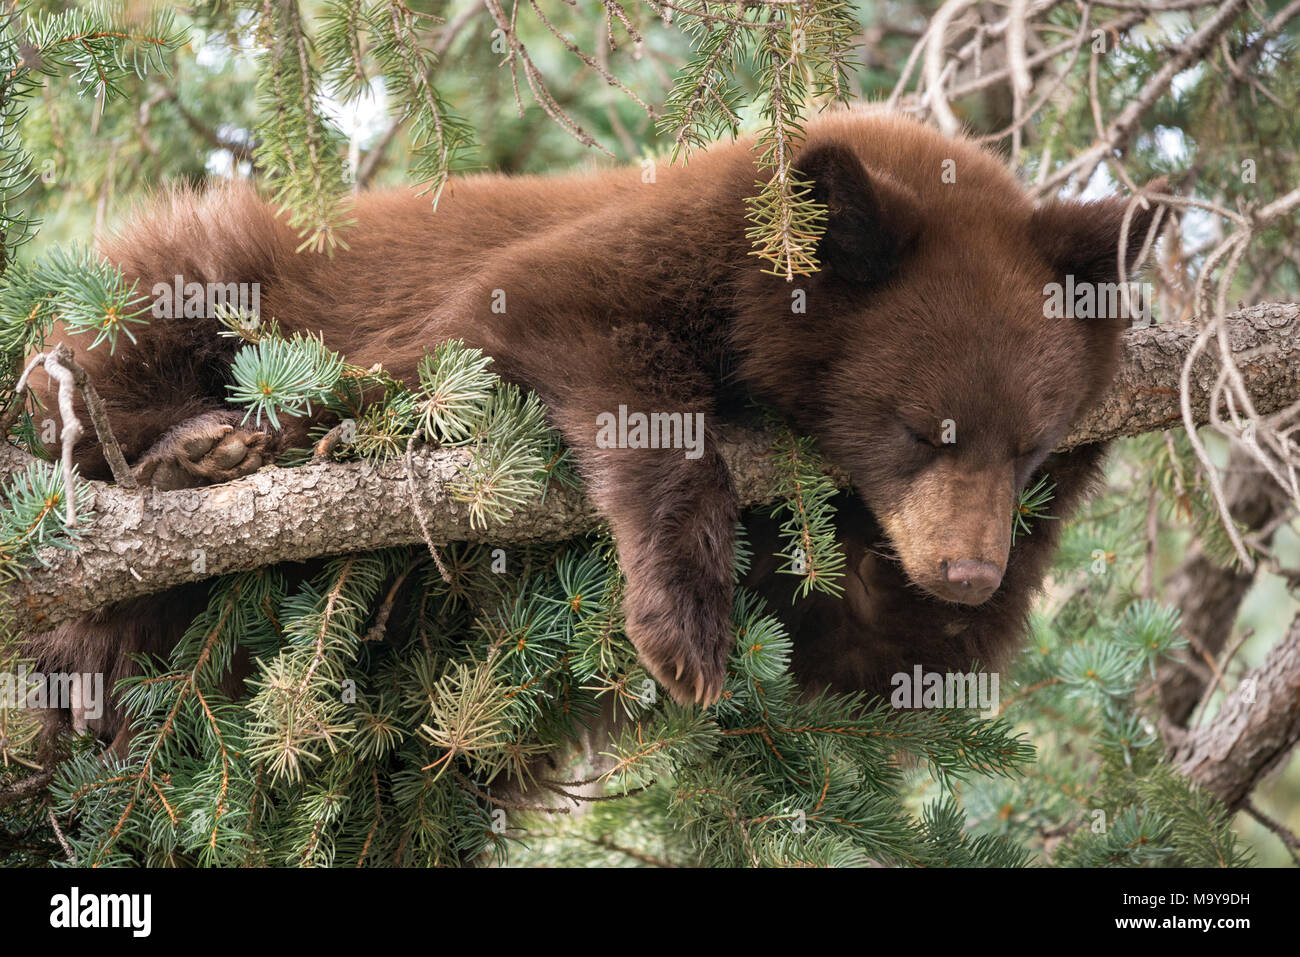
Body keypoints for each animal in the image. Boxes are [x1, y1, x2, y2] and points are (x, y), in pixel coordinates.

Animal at [20, 107, 1161, 746]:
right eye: (925, 429)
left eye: (1030, 446)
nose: (965, 570)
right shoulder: (630, 254)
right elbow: (557, 317)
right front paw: (686, 623)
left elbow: (870, 659)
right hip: (213, 271)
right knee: (118, 356)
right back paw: (171, 483)